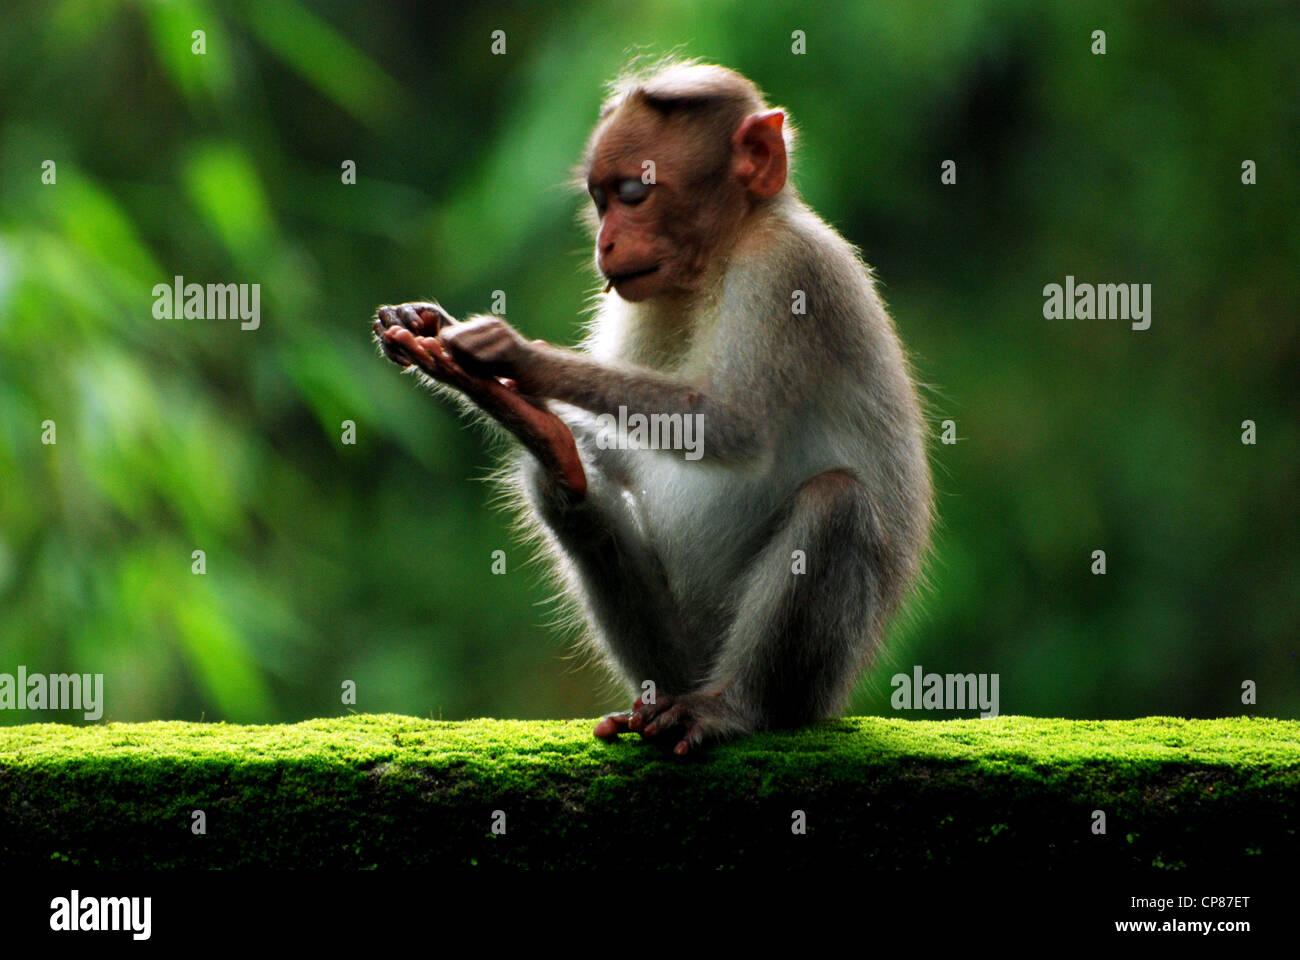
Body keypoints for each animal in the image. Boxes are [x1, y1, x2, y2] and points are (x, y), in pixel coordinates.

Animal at [373, 60, 932, 756]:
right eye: (600, 201)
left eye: (633, 194)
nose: (606, 244)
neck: (718, 257)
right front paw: (520, 408)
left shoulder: (788, 271)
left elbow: (735, 428)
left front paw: (515, 357)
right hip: (678, 652)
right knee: (565, 500)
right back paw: (560, 467)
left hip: (818, 676)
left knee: (836, 502)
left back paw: (734, 708)